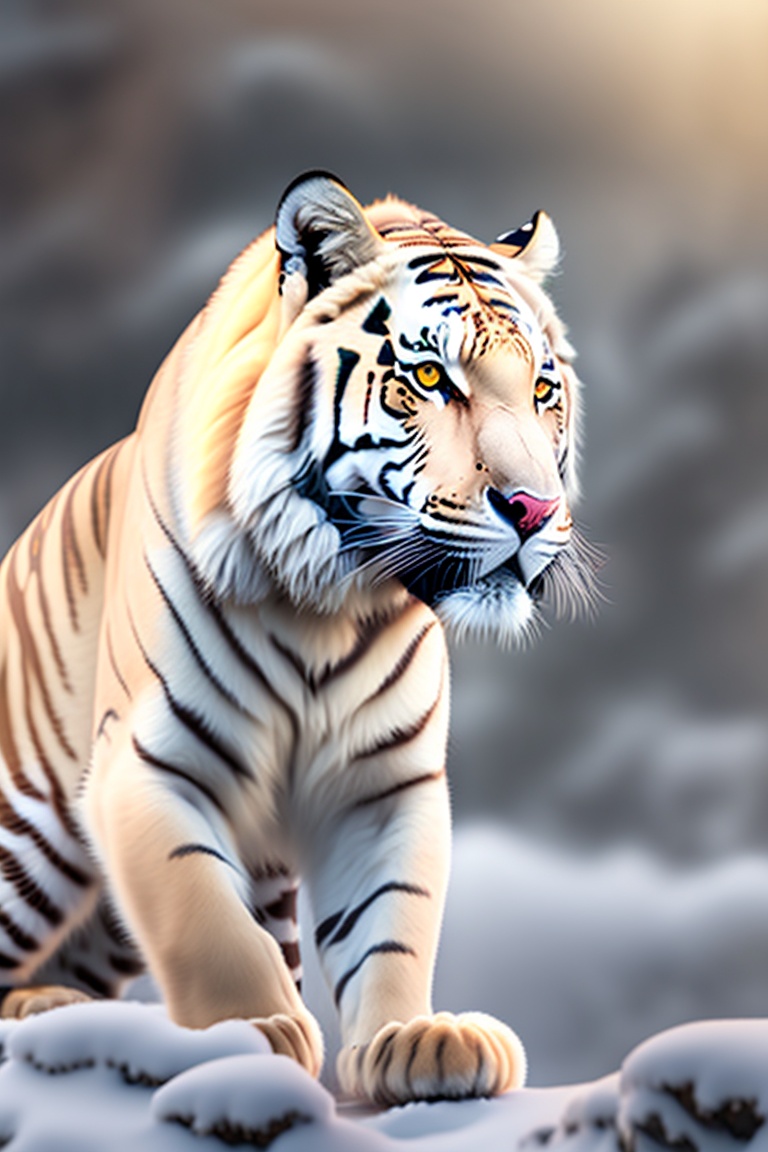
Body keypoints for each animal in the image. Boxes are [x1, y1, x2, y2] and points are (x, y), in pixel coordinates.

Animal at [0, 171, 594, 1106]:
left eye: (541, 389)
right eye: (430, 377)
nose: (535, 509)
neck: (330, 597)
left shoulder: (385, 781)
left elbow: (393, 920)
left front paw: (415, 1040)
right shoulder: (148, 764)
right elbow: (200, 911)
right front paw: (249, 1031)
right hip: (29, 828)